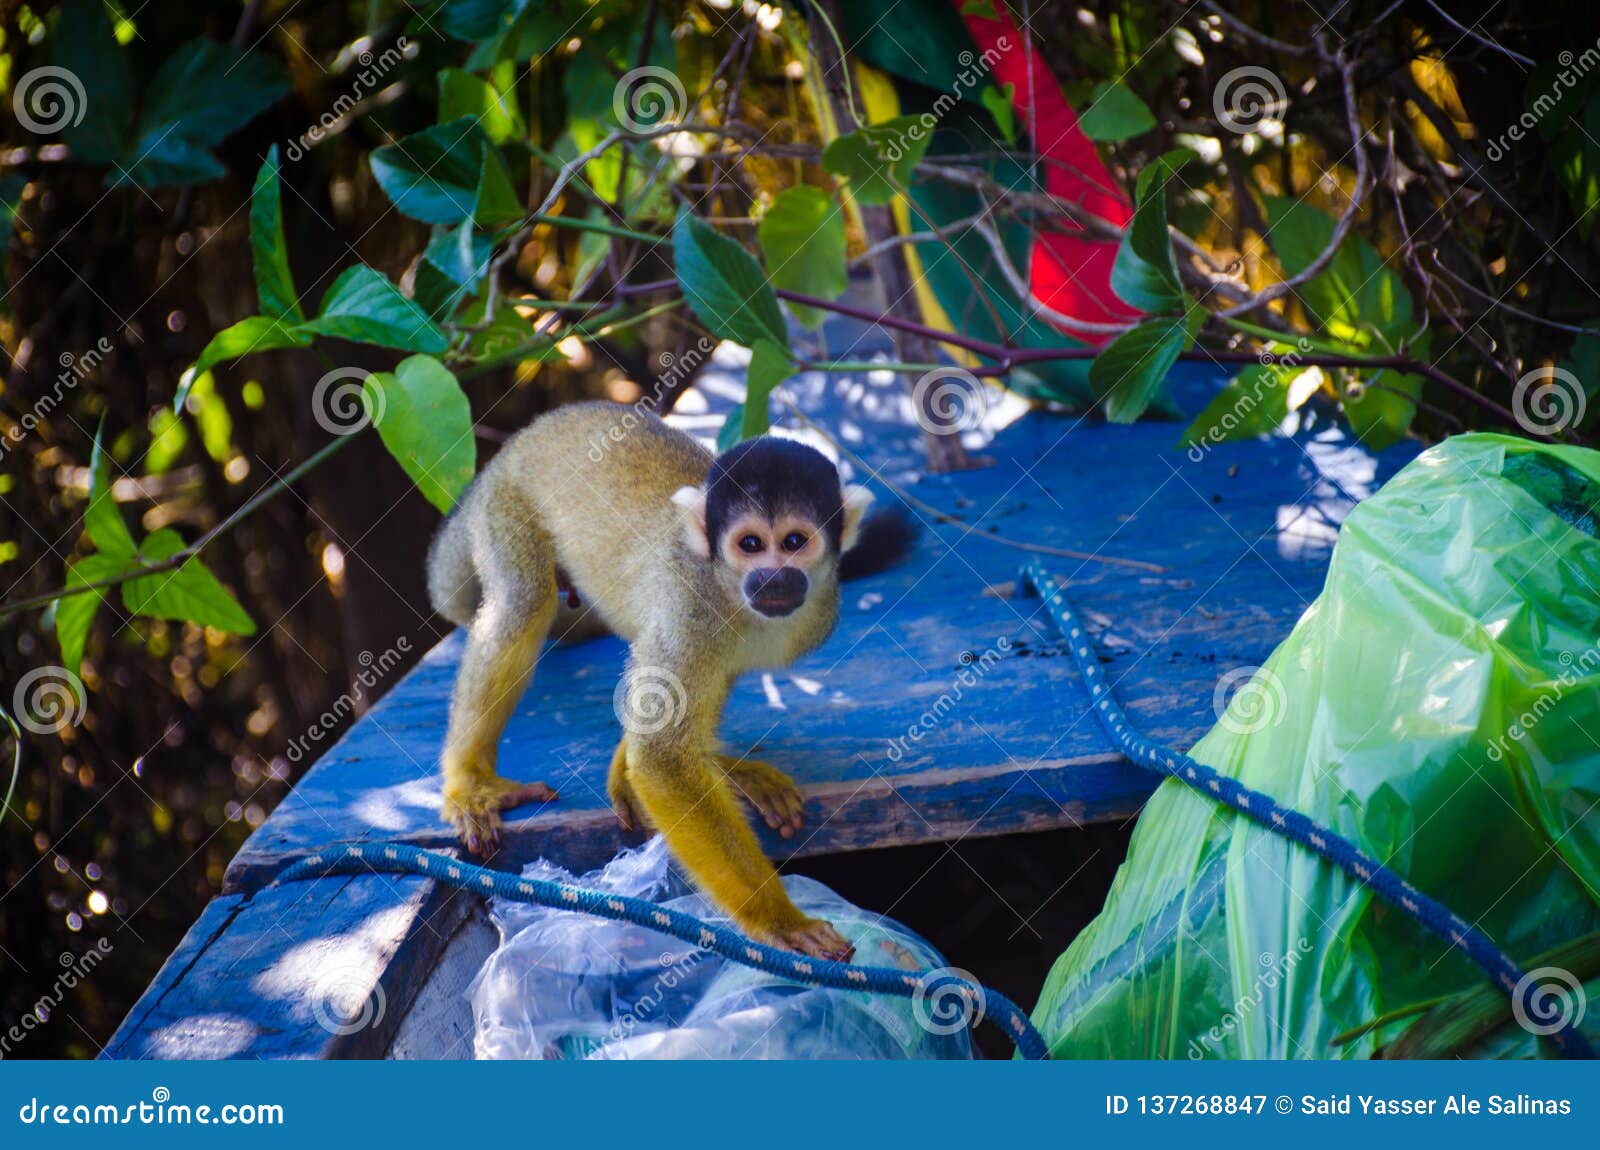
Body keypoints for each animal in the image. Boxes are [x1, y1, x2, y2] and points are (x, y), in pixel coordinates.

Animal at [426, 402, 917, 960]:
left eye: (794, 542)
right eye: (750, 545)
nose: (772, 578)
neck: (733, 594)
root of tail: (516, 444)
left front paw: (699, 769)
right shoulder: (691, 607)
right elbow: (662, 756)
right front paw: (779, 921)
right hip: (507, 509)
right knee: (523, 603)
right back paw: (470, 779)